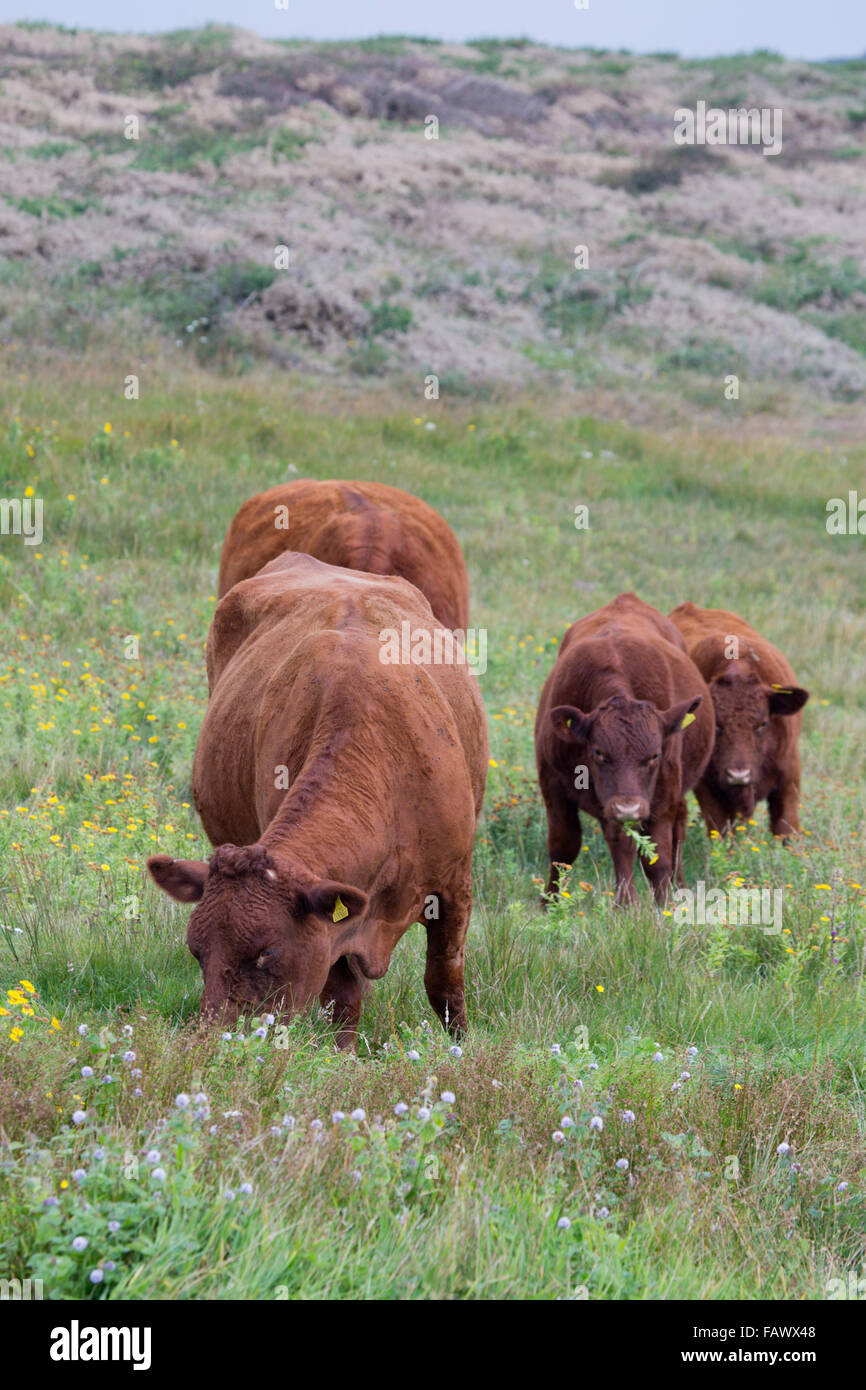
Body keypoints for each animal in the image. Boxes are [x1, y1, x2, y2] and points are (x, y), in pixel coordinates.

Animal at [146, 552, 488, 1050]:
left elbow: (444, 982)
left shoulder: (454, 884)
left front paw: (460, 1047)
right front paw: (342, 1056)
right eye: (196, 951)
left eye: (267, 952)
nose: (215, 1038)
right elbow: (342, 996)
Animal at [535, 592, 714, 906]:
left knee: (677, 833)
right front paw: (551, 903)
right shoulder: (553, 783)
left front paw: (663, 907)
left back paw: (678, 888)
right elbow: (564, 848)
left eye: (654, 755)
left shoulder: (663, 794)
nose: (628, 807)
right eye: (599, 753)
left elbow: (658, 858)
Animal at [668, 603, 809, 838]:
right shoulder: (708, 790)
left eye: (763, 724)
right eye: (716, 726)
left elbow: (786, 829)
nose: (738, 775)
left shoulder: (788, 780)